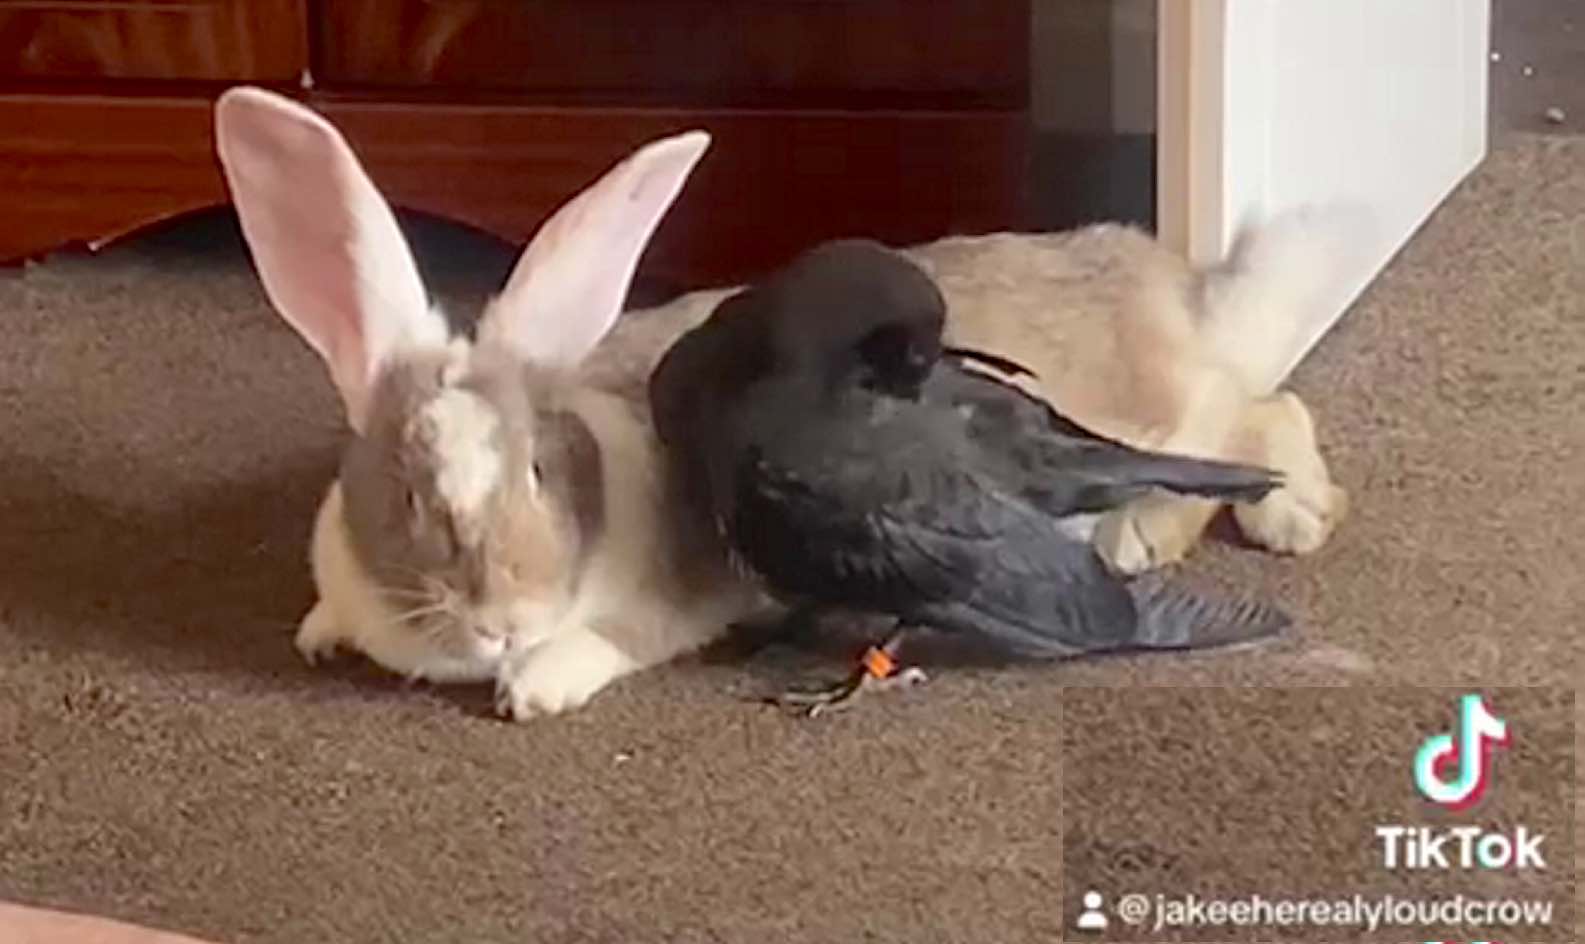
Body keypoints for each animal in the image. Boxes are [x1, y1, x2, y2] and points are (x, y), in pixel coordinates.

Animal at [215, 87, 763, 720]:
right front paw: (318, 635)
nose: (502, 623)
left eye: (537, 471)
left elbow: (624, 634)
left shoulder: (681, 595)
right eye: (410, 496)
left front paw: (532, 689)